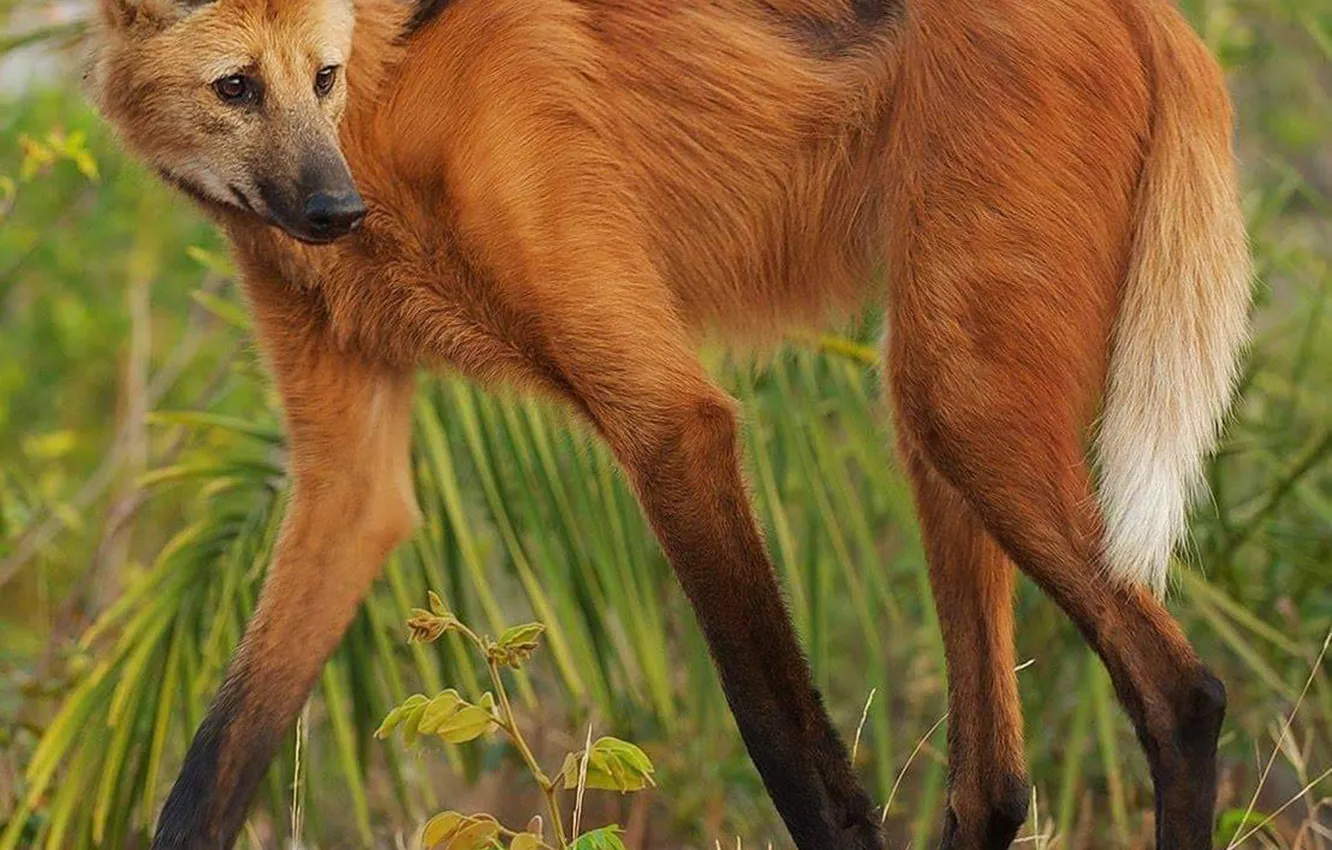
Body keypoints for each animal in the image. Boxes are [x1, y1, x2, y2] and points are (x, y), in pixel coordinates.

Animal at [83, 0, 1252, 844]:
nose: (334, 212)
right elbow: (215, 762)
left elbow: (781, 734)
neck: (387, 88)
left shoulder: (669, 419)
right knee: (994, 784)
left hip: (965, 401)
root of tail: (1152, 10)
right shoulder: (346, 477)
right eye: (236, 87)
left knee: (1181, 694)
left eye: (317, 78)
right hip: (936, 397)